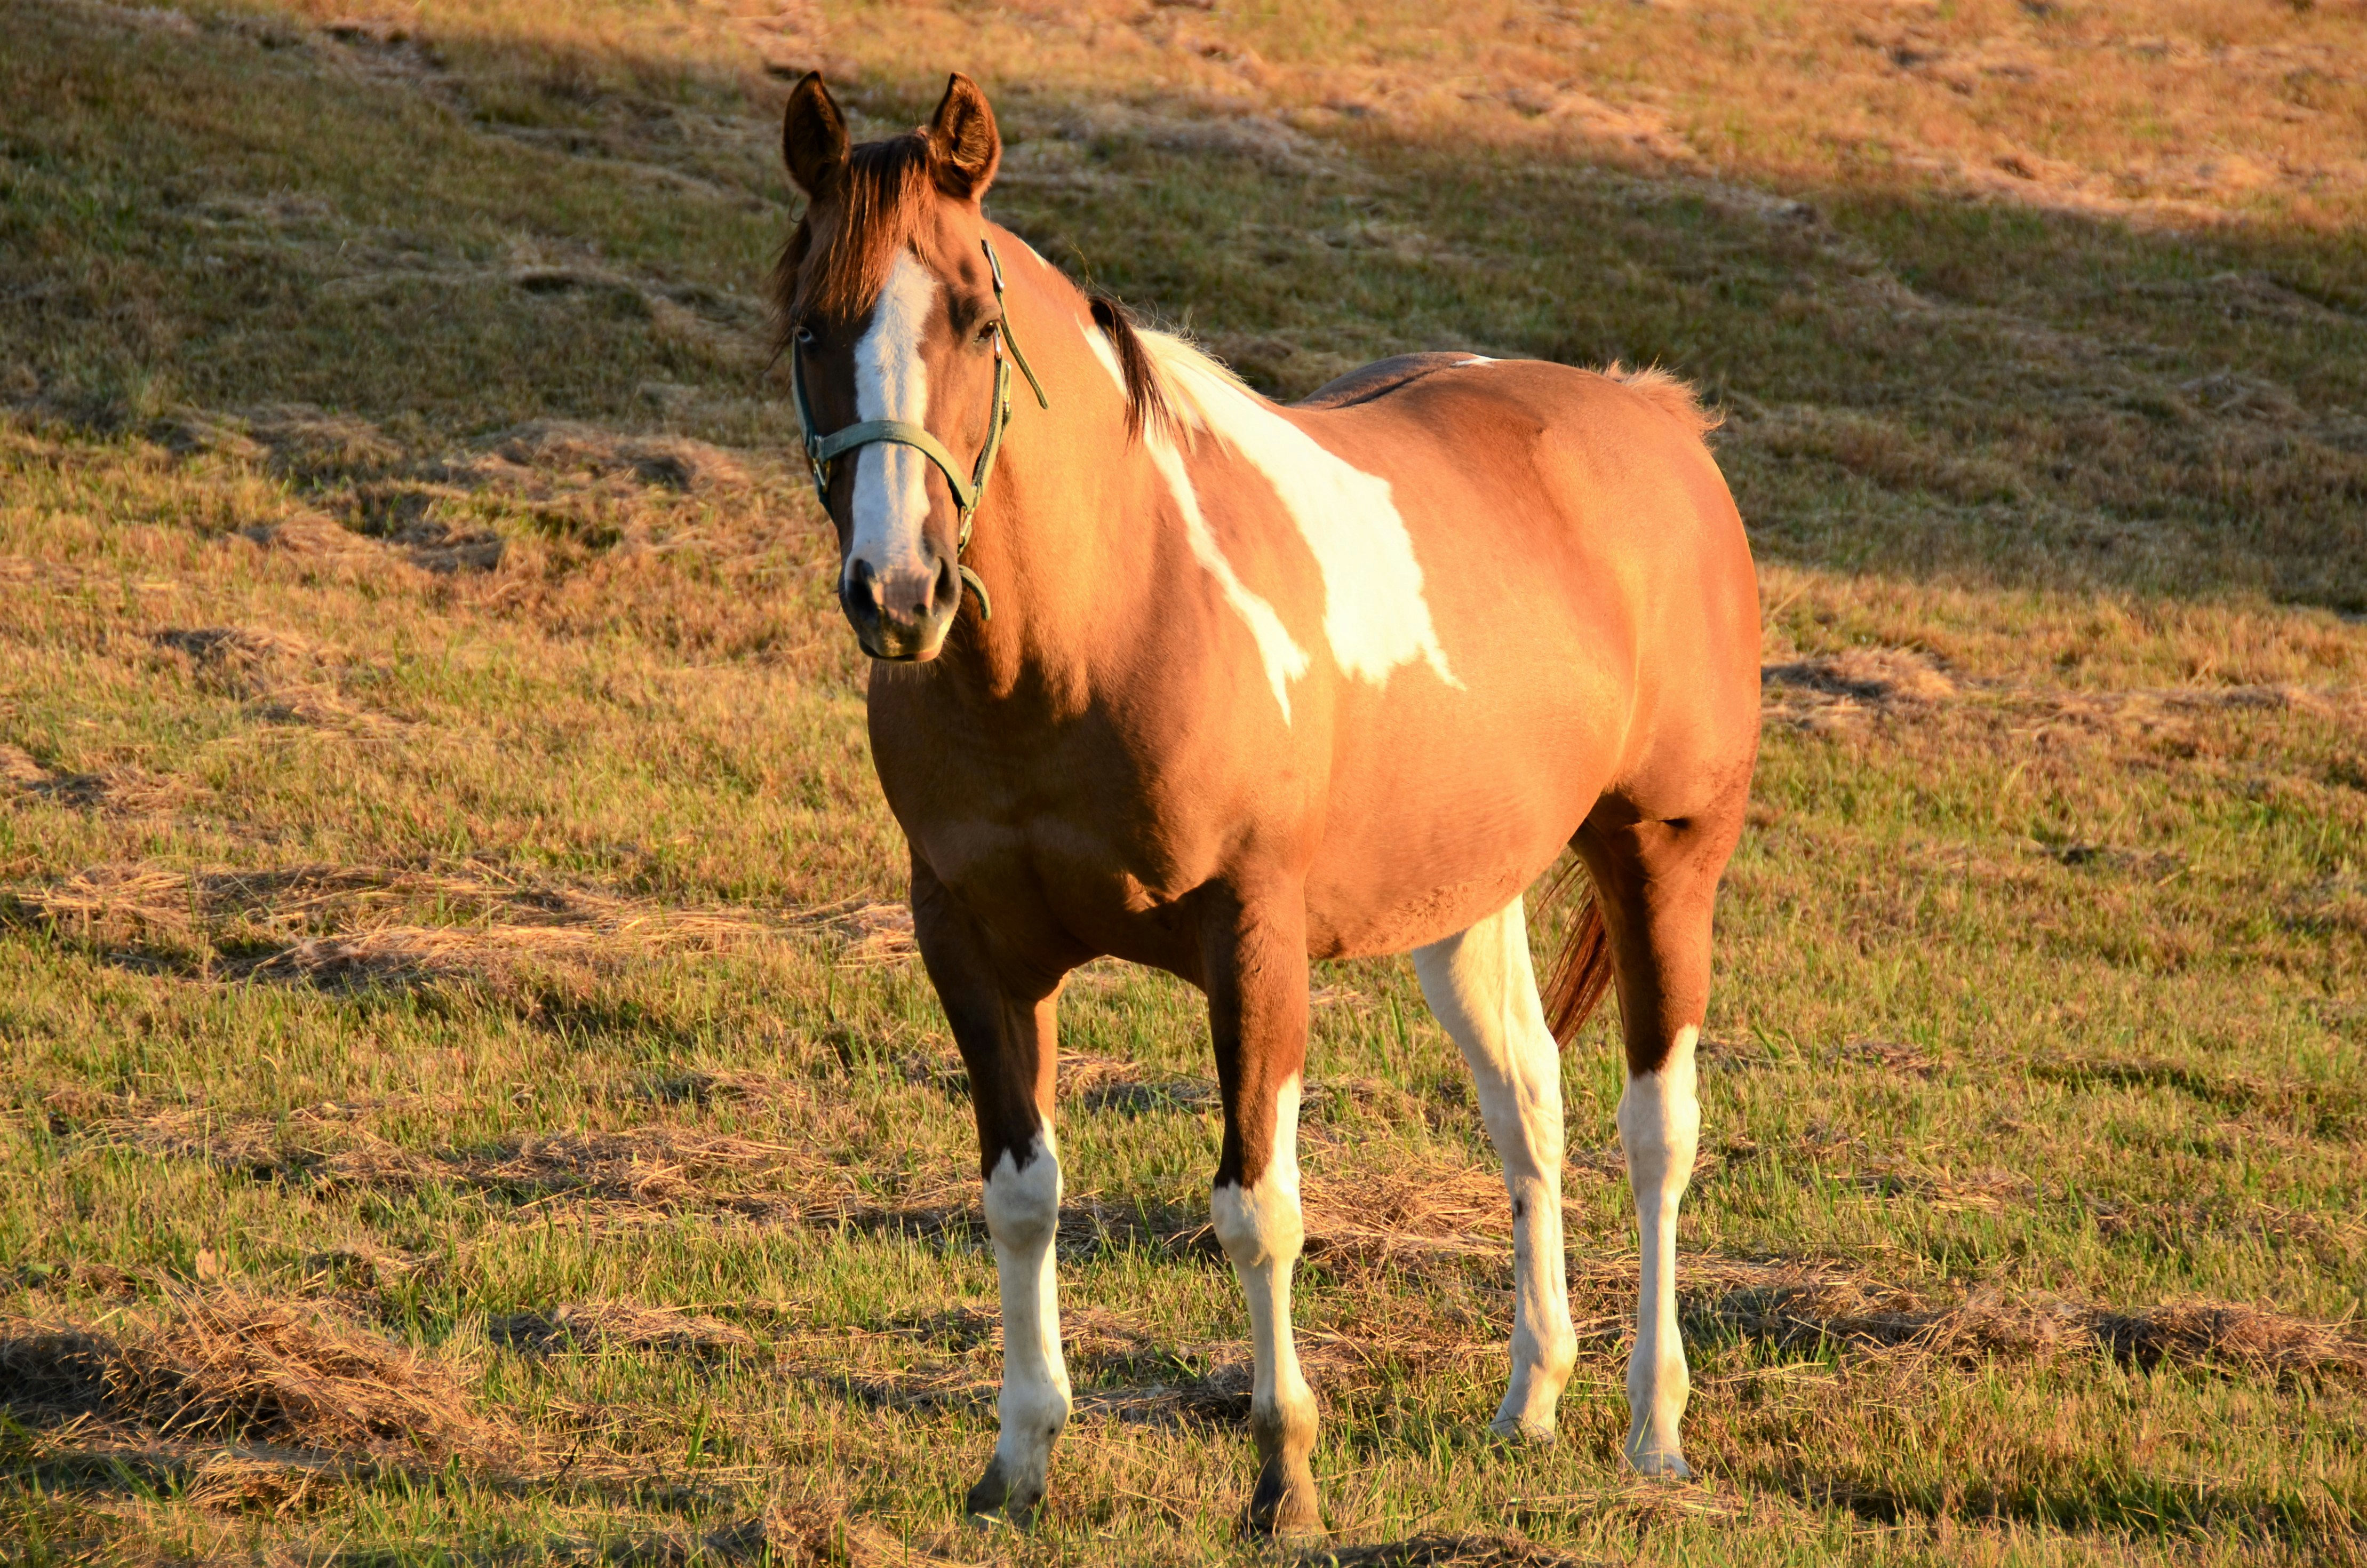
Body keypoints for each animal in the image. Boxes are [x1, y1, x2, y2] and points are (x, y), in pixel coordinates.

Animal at [767, 71, 1761, 1536]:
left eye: (975, 319)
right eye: (807, 323)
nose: (900, 591)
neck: (1106, 623)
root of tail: (1653, 421)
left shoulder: (1253, 944)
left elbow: (1257, 1206)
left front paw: (1281, 1471)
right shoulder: (971, 947)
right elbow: (1019, 1196)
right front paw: (1018, 1458)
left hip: (1662, 860)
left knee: (1654, 1132)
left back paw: (1653, 1426)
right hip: (1464, 898)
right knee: (1527, 1102)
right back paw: (1528, 1396)